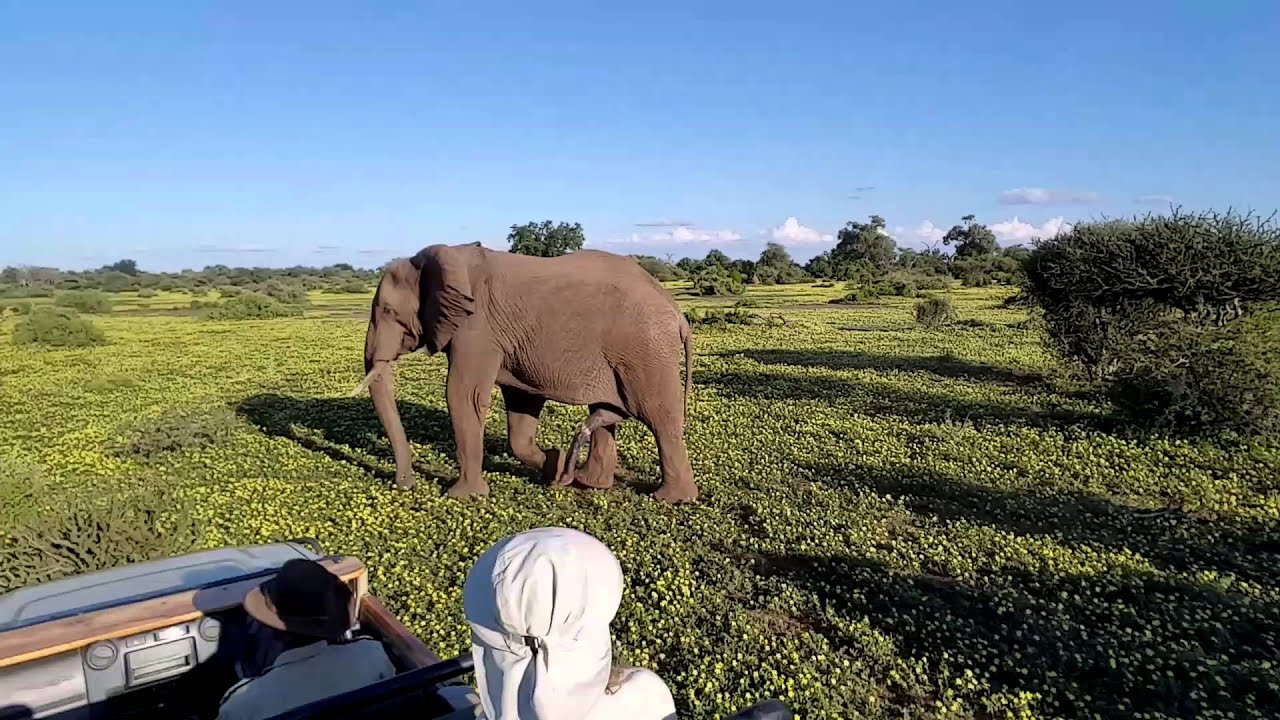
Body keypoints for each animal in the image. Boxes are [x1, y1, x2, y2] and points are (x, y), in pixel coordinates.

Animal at [351, 242, 699, 503]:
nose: (405, 483)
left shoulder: (476, 330)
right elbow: (521, 404)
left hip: (644, 350)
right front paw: (554, 466)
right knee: (607, 410)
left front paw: (462, 497)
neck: (445, 258)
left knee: (657, 415)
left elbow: (464, 395)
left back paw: (671, 499)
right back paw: (587, 481)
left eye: (388, 312)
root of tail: (675, 310)